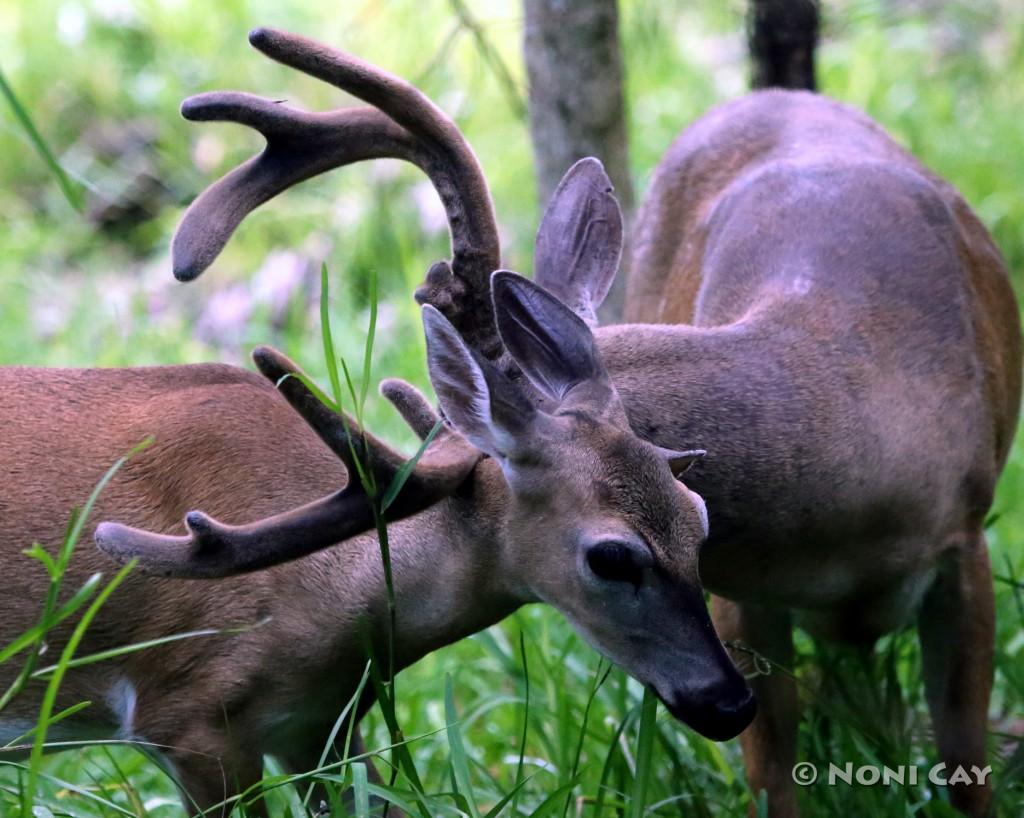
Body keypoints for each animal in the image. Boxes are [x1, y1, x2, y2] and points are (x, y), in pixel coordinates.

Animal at [0, 28, 755, 818]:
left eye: (697, 514)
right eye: (611, 556)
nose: (730, 703)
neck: (338, 589)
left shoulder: (322, 721)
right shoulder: (187, 716)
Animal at [86, 22, 1020, 818]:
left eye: (699, 514)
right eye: (621, 552)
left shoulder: (965, 538)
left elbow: (964, 766)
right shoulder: (742, 597)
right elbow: (772, 778)